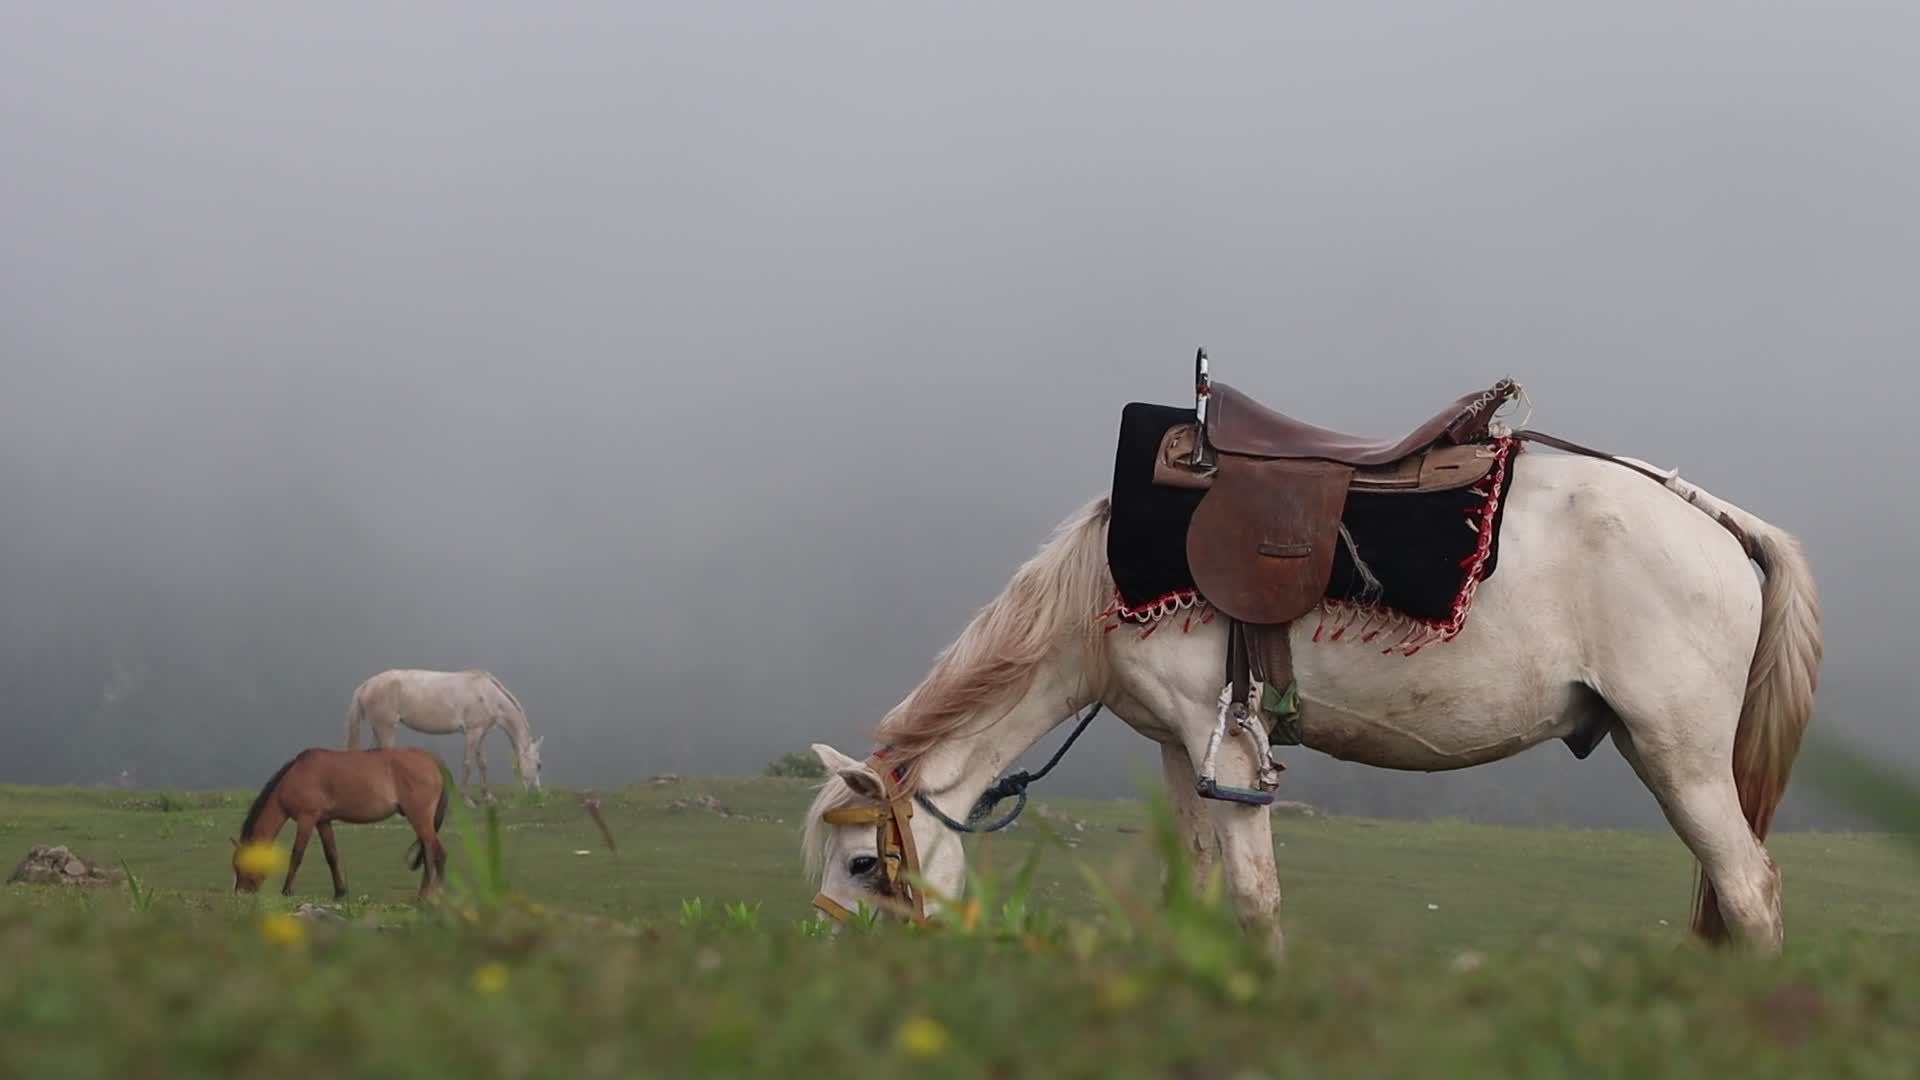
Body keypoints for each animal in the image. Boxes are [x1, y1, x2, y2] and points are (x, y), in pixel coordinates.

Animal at [231, 747, 449, 900]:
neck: (295, 776)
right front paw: (340, 892)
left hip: (420, 818)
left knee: (437, 853)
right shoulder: (323, 821)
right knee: (429, 853)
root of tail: (431, 761)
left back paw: (433, 895)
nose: (241, 894)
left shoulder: (307, 818)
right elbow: (331, 855)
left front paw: (287, 890)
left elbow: (297, 855)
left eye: (241, 866)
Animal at [344, 668, 543, 799]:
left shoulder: (481, 733)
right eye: (539, 765)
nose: (536, 793)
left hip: (378, 728)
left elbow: (482, 763)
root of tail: (367, 684)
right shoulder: (472, 732)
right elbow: (468, 763)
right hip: (386, 728)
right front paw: (466, 799)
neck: (489, 694)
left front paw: (488, 796)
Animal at [804, 448, 1820, 955]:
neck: (1112, 585)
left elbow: (1254, 899)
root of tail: (1714, 518)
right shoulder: (1180, 746)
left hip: (1681, 758)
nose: (836, 958)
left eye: (862, 864)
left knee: (1751, 891)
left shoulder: (1231, 748)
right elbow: (1197, 889)